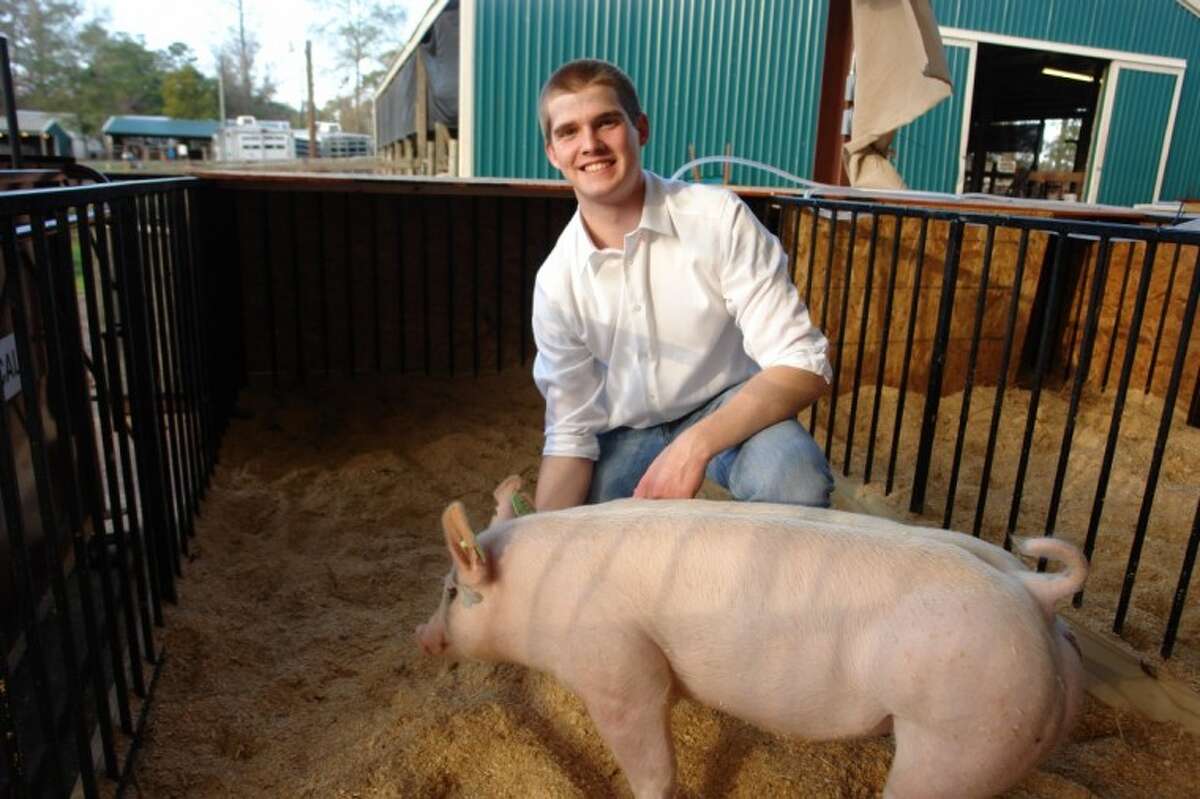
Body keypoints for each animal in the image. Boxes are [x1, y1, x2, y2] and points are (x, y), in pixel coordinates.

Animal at [416, 476, 1087, 799]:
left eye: (451, 591)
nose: (422, 637)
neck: (540, 594)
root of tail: (1034, 590)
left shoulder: (617, 666)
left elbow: (649, 754)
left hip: (961, 738)